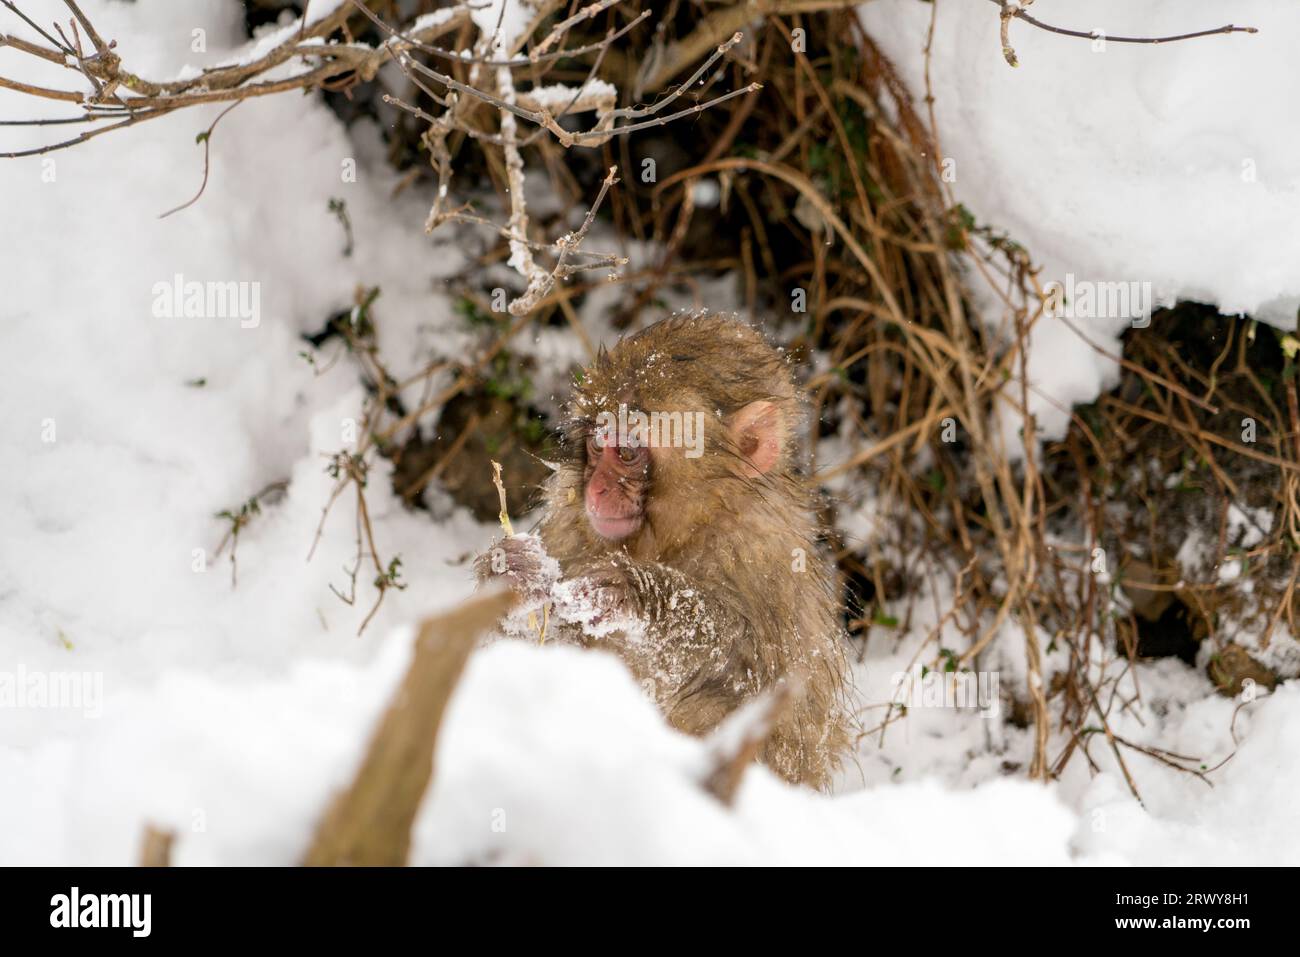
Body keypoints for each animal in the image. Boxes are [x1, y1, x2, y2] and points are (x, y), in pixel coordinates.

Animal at [476, 312, 852, 789]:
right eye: (597, 445)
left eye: (627, 452)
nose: (597, 490)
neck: (687, 530)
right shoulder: (571, 530)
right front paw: (510, 574)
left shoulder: (768, 559)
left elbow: (767, 698)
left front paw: (639, 595)